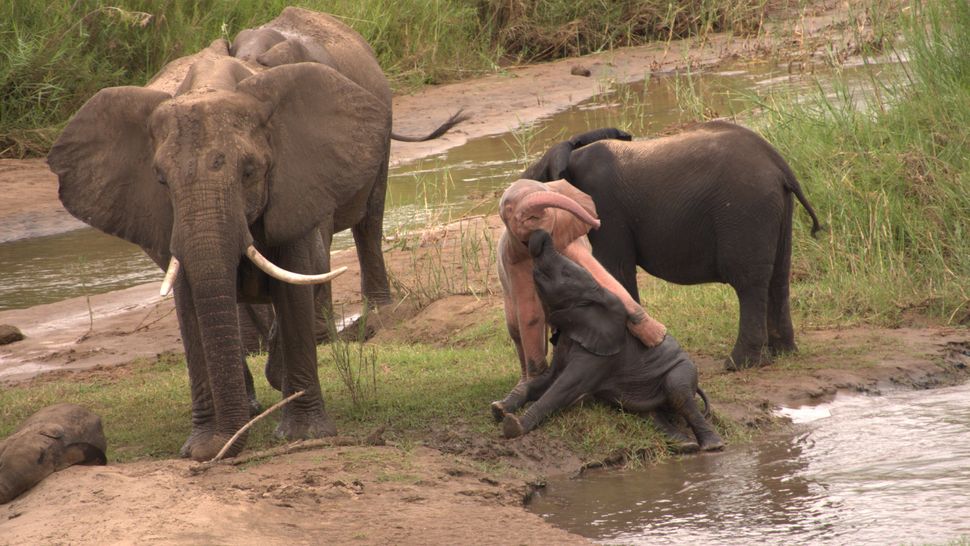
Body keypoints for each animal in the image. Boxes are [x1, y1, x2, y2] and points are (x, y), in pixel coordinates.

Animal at [47, 8, 463, 461]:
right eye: (160, 180)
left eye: (249, 172)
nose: (219, 450)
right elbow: (191, 303)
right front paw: (202, 445)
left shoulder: (301, 171)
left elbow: (297, 277)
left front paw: (302, 433)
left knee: (367, 221)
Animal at [492, 230, 724, 453]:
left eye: (566, 273)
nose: (539, 233)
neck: (600, 295)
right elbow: (546, 380)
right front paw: (498, 408)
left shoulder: (600, 358)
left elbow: (563, 387)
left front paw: (513, 426)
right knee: (649, 413)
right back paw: (685, 445)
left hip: (684, 369)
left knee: (678, 392)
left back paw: (712, 446)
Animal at [497, 178, 667, 383]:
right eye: (508, 209)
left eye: (546, 192)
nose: (598, 222)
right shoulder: (513, 261)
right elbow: (530, 315)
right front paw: (536, 381)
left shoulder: (570, 241)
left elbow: (602, 279)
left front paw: (658, 339)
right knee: (515, 331)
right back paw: (522, 382)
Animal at [524, 122, 823, 369]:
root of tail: (780, 166)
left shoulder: (604, 208)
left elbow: (615, 272)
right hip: (776, 209)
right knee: (779, 277)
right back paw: (783, 353)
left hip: (745, 209)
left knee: (749, 282)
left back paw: (739, 365)